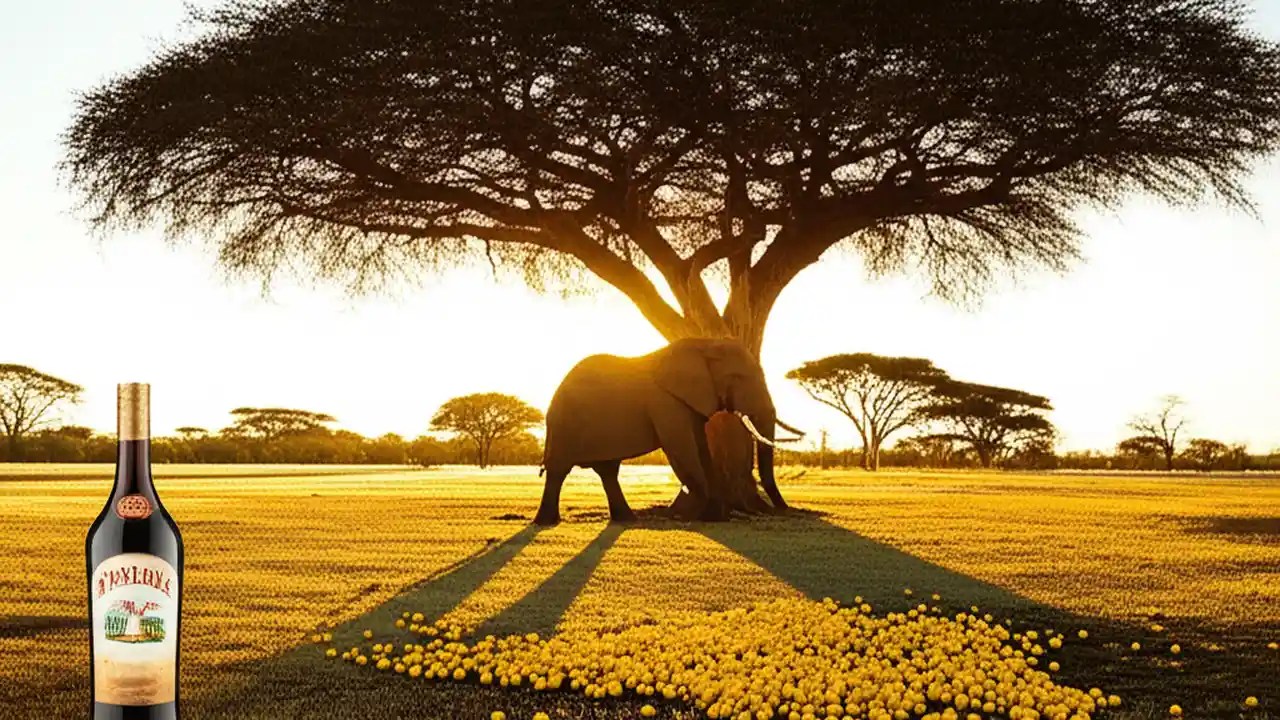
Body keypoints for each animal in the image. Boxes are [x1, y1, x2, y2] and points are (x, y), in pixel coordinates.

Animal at [534, 337, 794, 525]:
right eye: (738, 377)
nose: (784, 509)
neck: (704, 344)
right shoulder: (665, 403)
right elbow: (682, 450)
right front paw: (692, 516)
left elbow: (701, 448)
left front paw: (714, 516)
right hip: (564, 424)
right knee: (559, 469)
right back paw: (546, 522)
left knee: (607, 471)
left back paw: (626, 520)